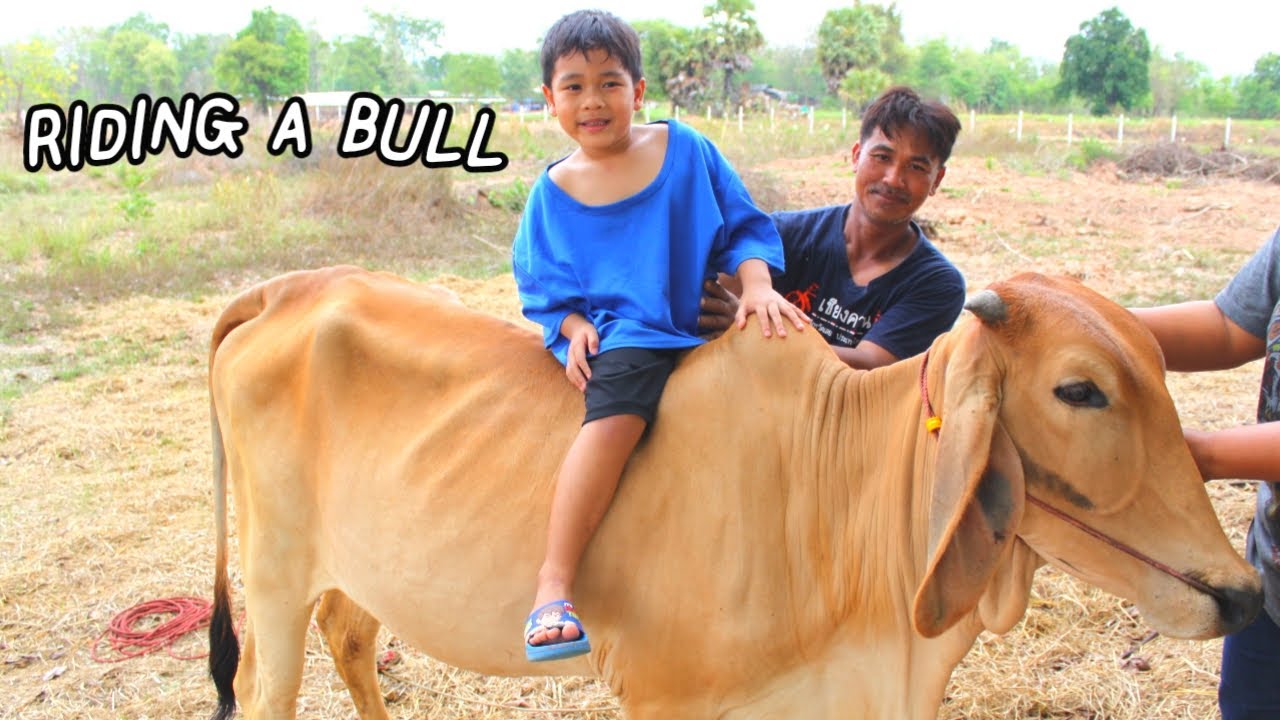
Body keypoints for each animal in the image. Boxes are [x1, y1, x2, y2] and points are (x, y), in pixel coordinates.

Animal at [206, 265, 1261, 720]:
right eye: (1079, 389)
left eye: (1162, 369)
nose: (1244, 591)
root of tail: (290, 287)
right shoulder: (666, 695)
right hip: (274, 569)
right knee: (265, 689)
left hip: (355, 569)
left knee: (349, 638)